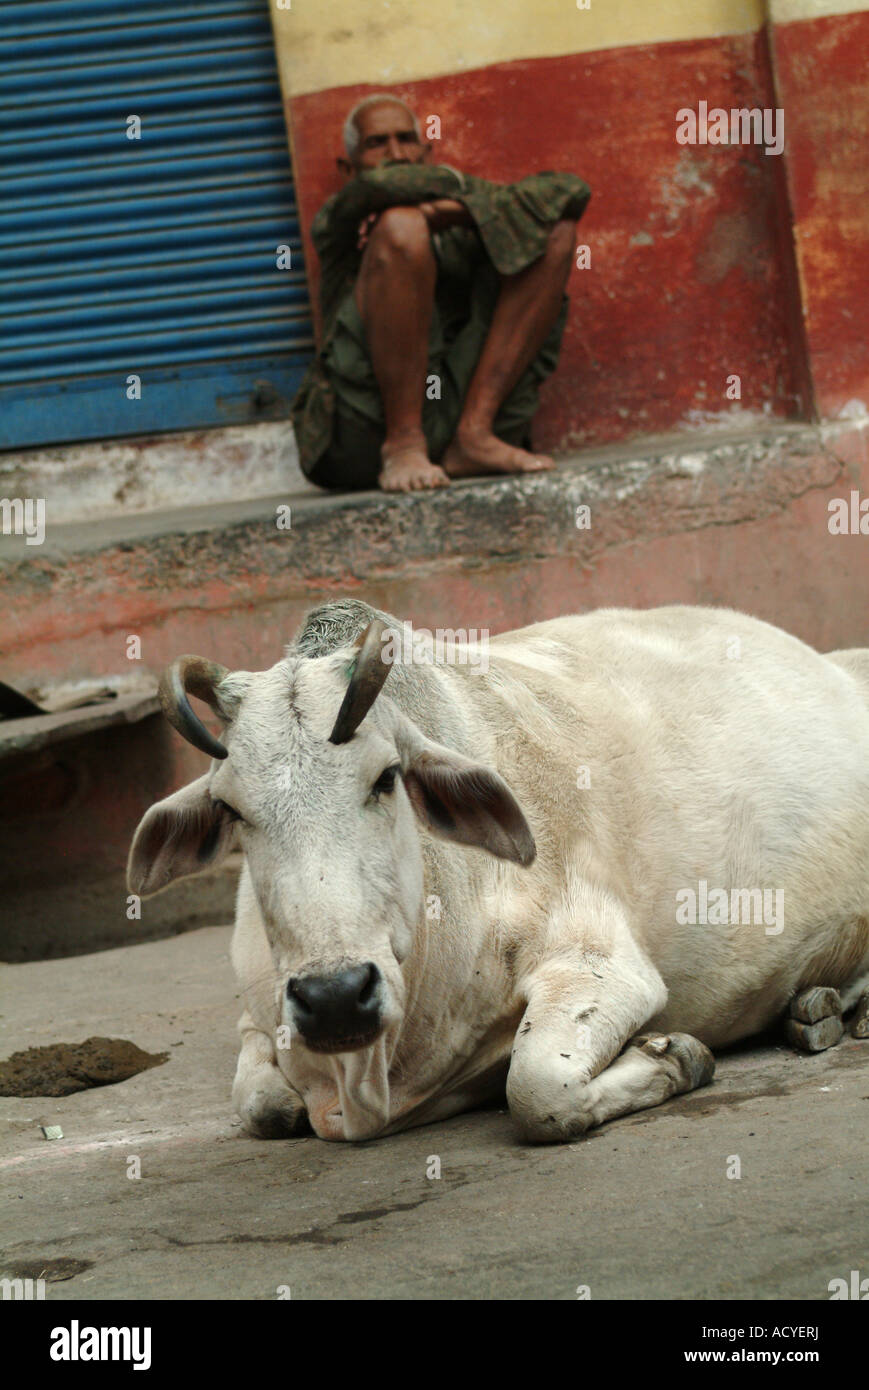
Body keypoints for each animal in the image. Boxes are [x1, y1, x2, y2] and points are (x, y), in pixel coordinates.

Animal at [127, 600, 869, 1143]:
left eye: (386, 777)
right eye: (231, 808)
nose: (335, 995)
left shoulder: (602, 964)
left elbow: (537, 1088)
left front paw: (676, 1057)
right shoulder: (257, 1019)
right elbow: (262, 1106)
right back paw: (814, 1010)